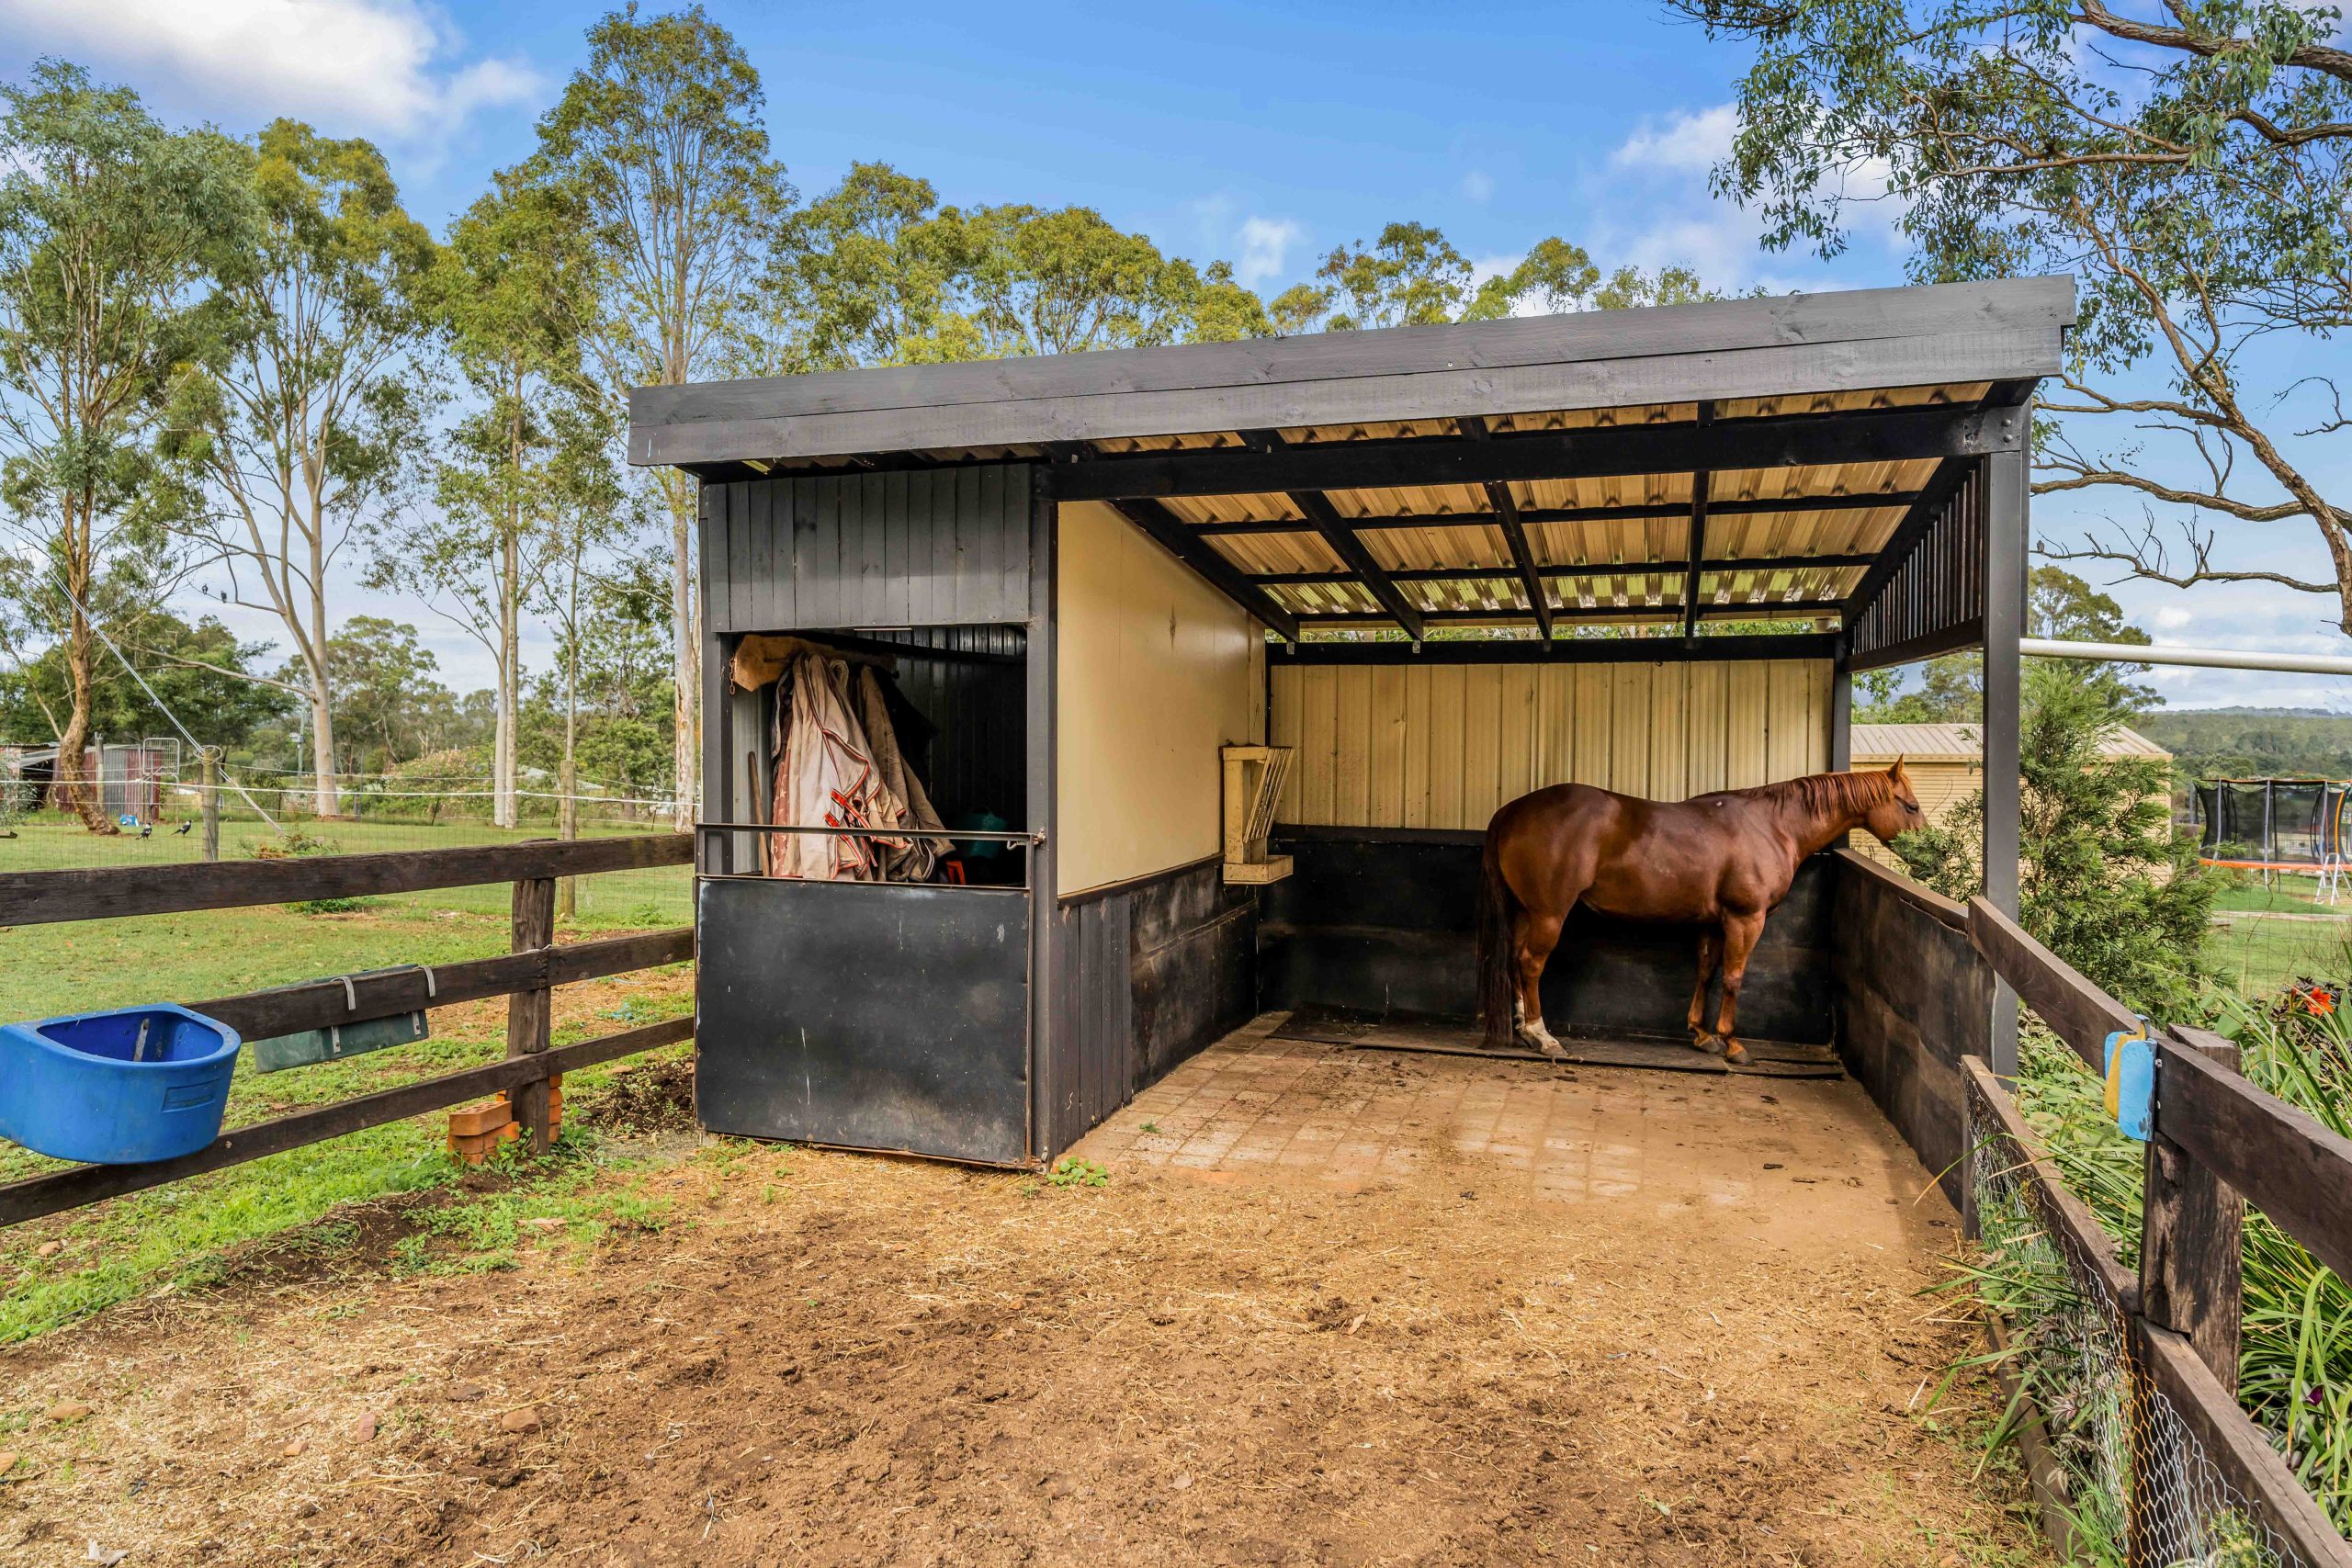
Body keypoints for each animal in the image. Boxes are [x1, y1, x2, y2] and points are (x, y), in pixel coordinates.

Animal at [1476, 760, 1926, 1064]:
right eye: (1910, 806)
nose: (1928, 853)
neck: (1772, 826)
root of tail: (1512, 811)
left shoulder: (1714, 923)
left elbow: (1706, 972)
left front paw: (1701, 1033)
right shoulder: (1746, 919)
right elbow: (1733, 978)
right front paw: (1732, 1043)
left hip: (1525, 911)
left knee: (1515, 962)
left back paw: (1524, 1028)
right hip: (1550, 914)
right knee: (1531, 964)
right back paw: (1543, 1035)